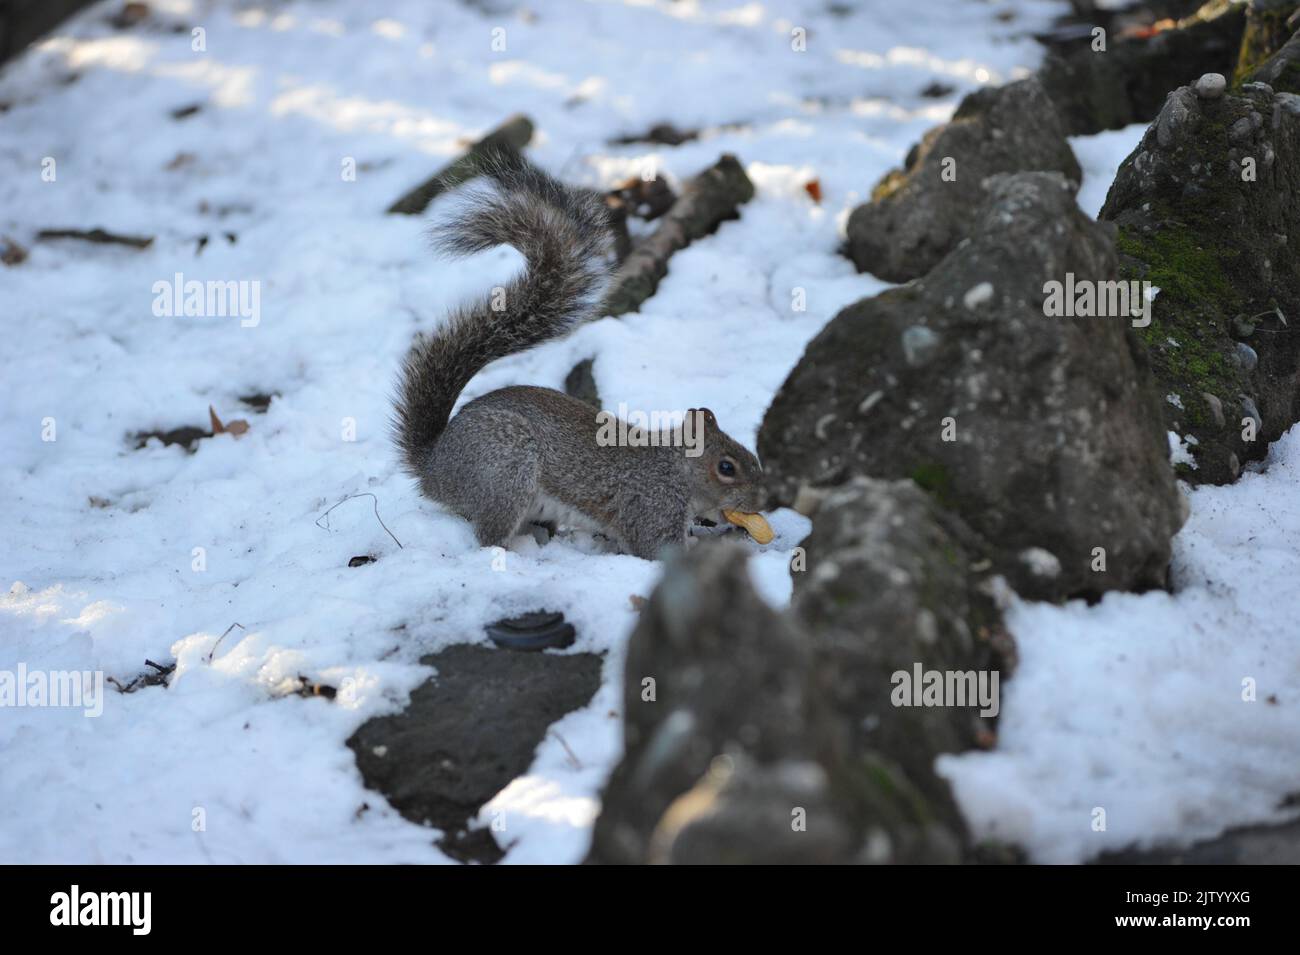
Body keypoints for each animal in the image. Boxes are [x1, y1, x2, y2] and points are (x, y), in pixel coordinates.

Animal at [393, 156, 771, 560]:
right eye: (726, 467)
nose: (762, 500)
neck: (674, 468)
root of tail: (434, 466)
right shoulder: (650, 504)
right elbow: (658, 548)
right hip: (506, 470)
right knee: (488, 535)